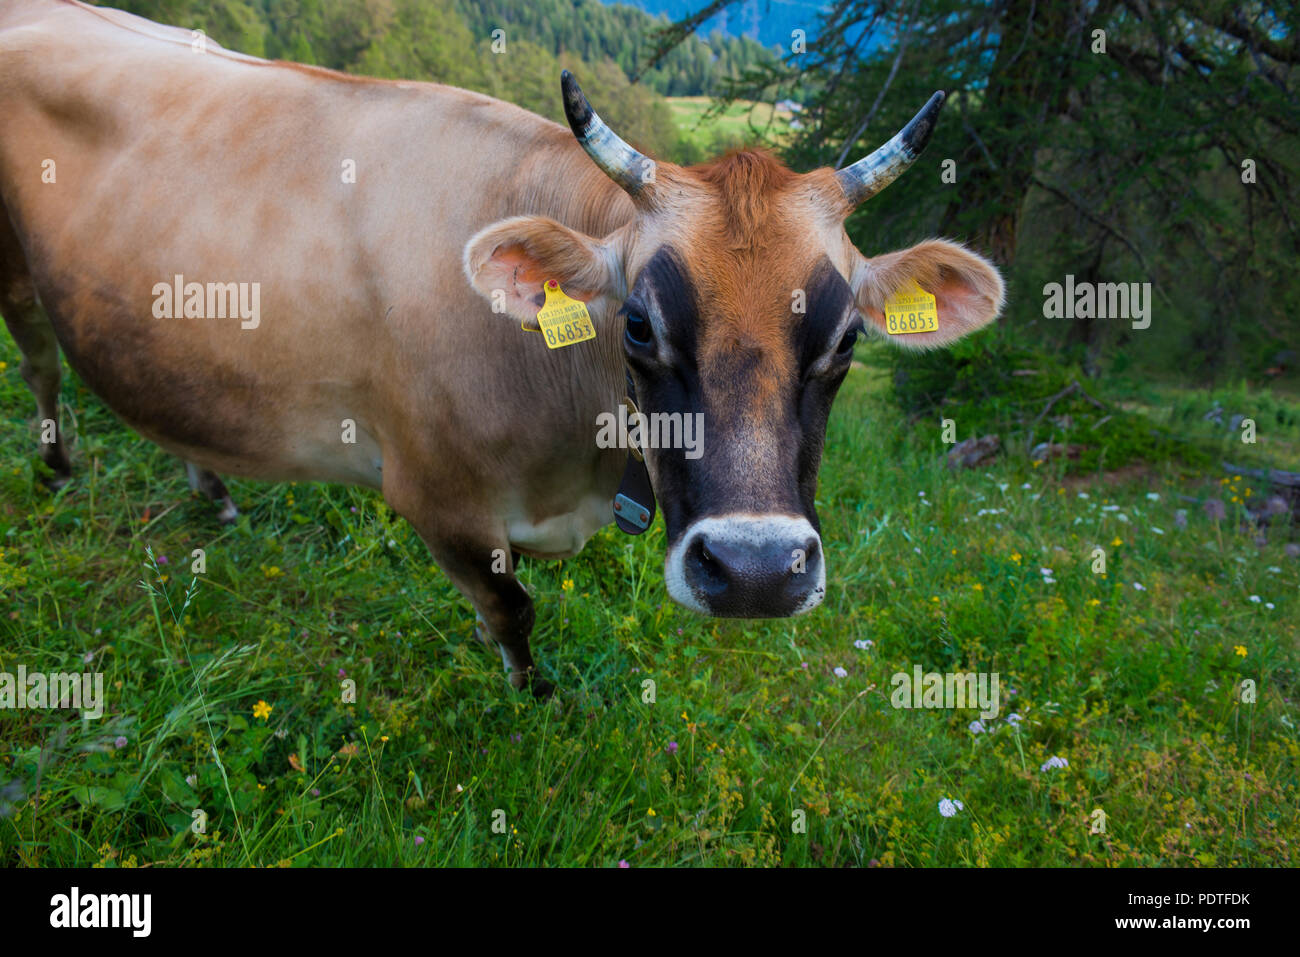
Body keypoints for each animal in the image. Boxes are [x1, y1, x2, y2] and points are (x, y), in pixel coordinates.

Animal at [0, 0, 1004, 696]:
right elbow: (512, 611)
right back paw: (57, 467)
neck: (572, 461)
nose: (755, 572)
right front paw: (535, 698)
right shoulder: (433, 497)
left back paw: (210, 488)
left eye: (845, 337)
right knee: (40, 360)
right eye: (637, 323)